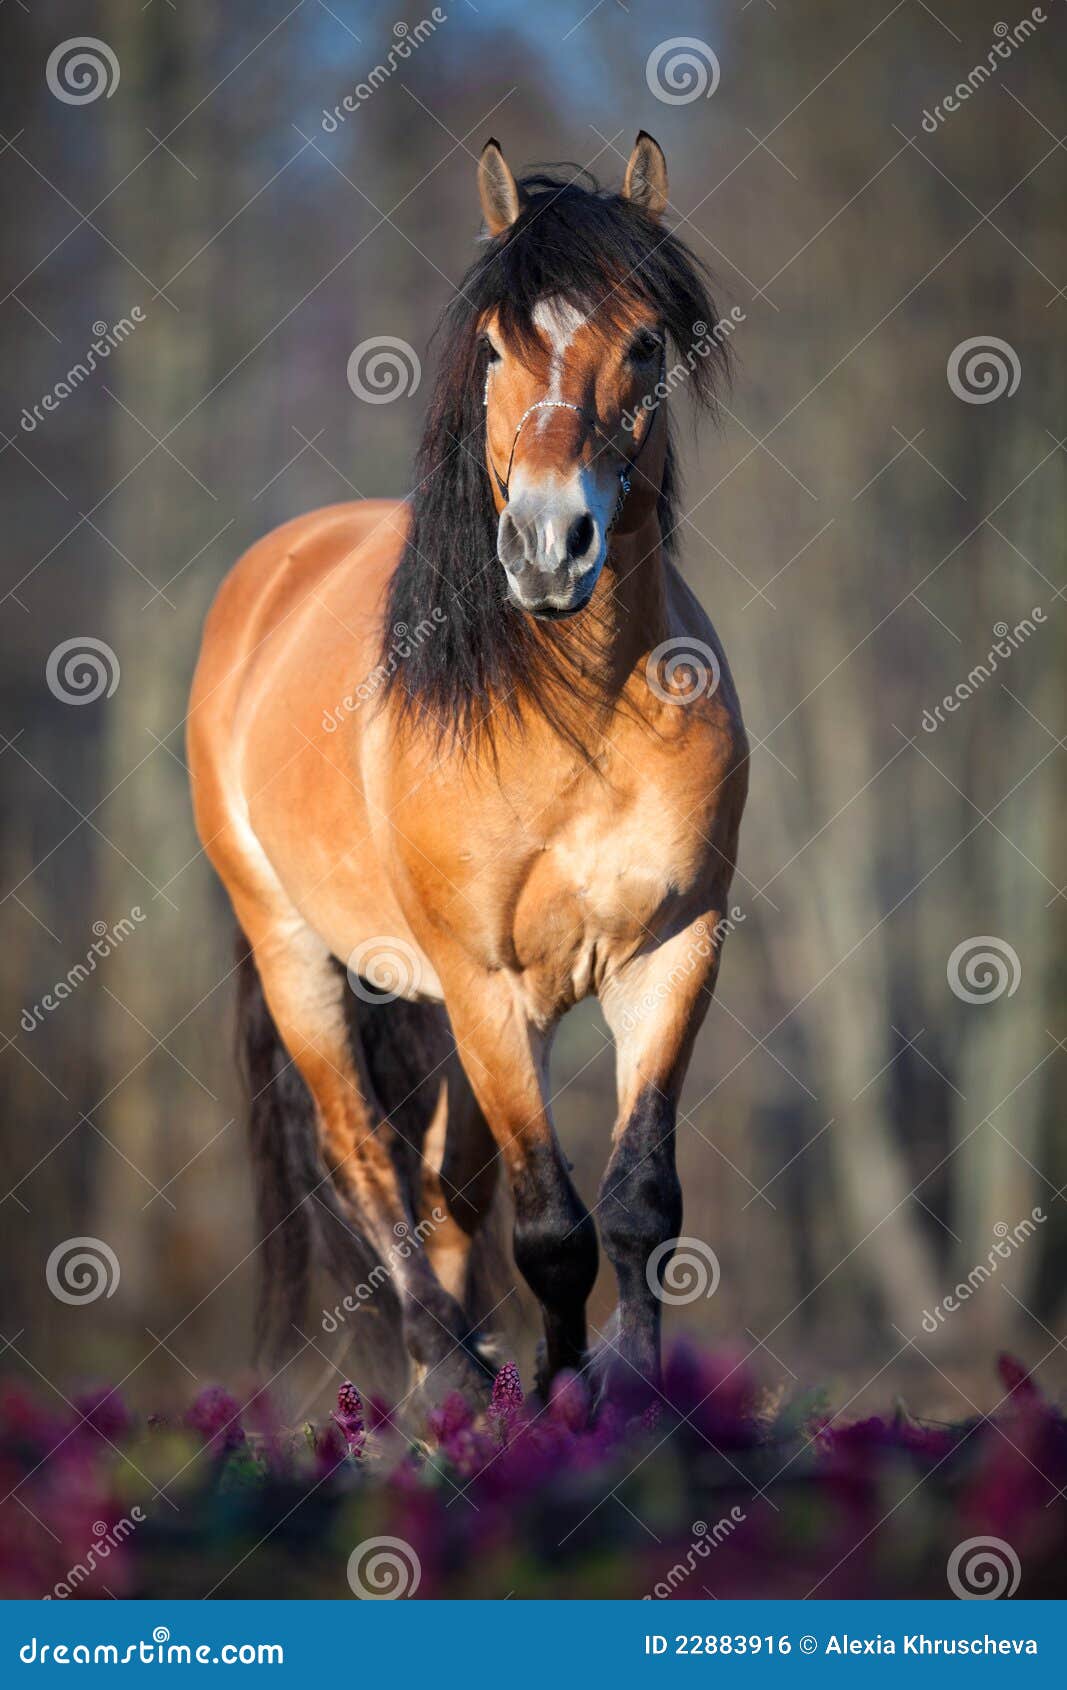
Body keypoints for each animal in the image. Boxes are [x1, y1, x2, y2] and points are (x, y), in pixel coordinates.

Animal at [187, 132, 748, 1410]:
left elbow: (636, 1205)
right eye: (494, 345)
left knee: (449, 1188)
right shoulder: (488, 983)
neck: (578, 717)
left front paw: (621, 1399)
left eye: (644, 342)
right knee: (363, 1162)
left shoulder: (673, 952)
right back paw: (449, 1371)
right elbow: (550, 1231)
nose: (546, 546)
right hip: (299, 958)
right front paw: (552, 1407)